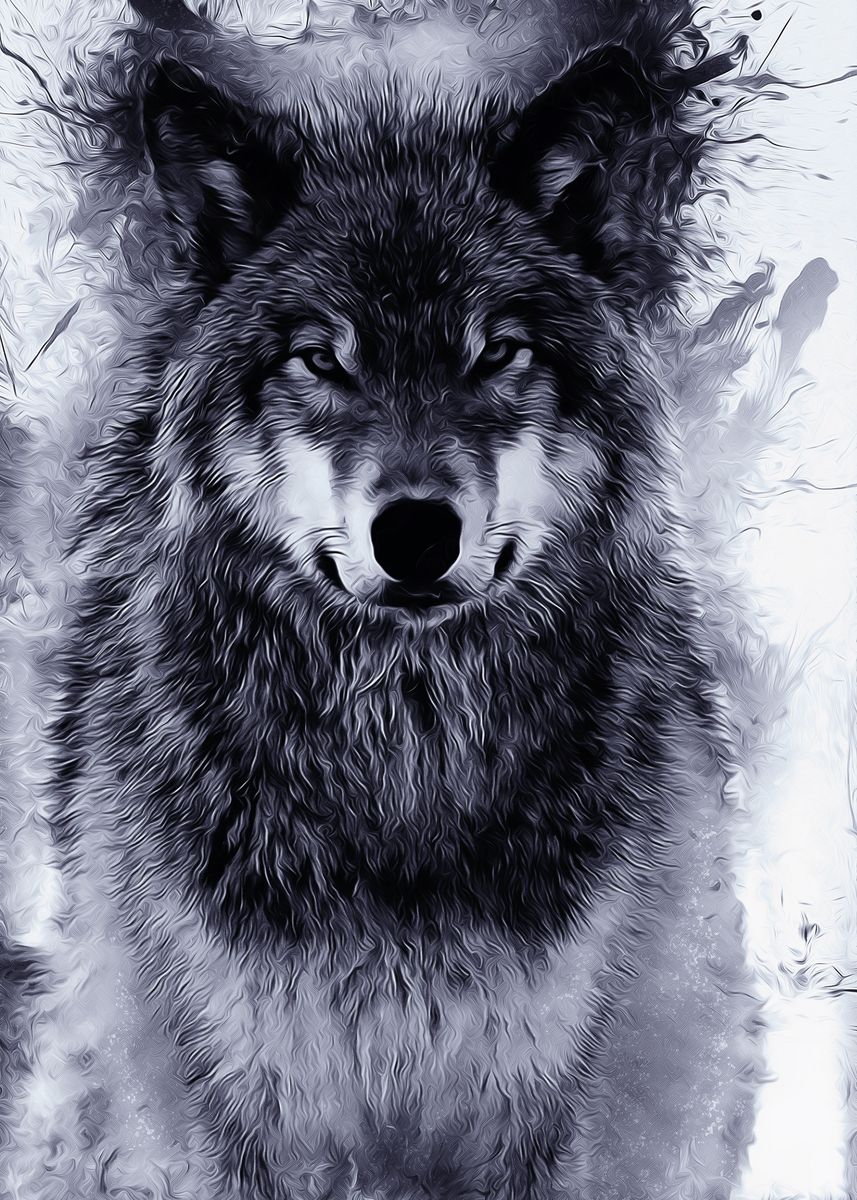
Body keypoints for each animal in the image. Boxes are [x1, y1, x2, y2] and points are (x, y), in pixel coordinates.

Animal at [3, 1, 758, 1197]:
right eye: (323, 360)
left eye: (496, 352)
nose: (413, 534)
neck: (400, 769)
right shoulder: (236, 1098)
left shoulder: (542, 1097)